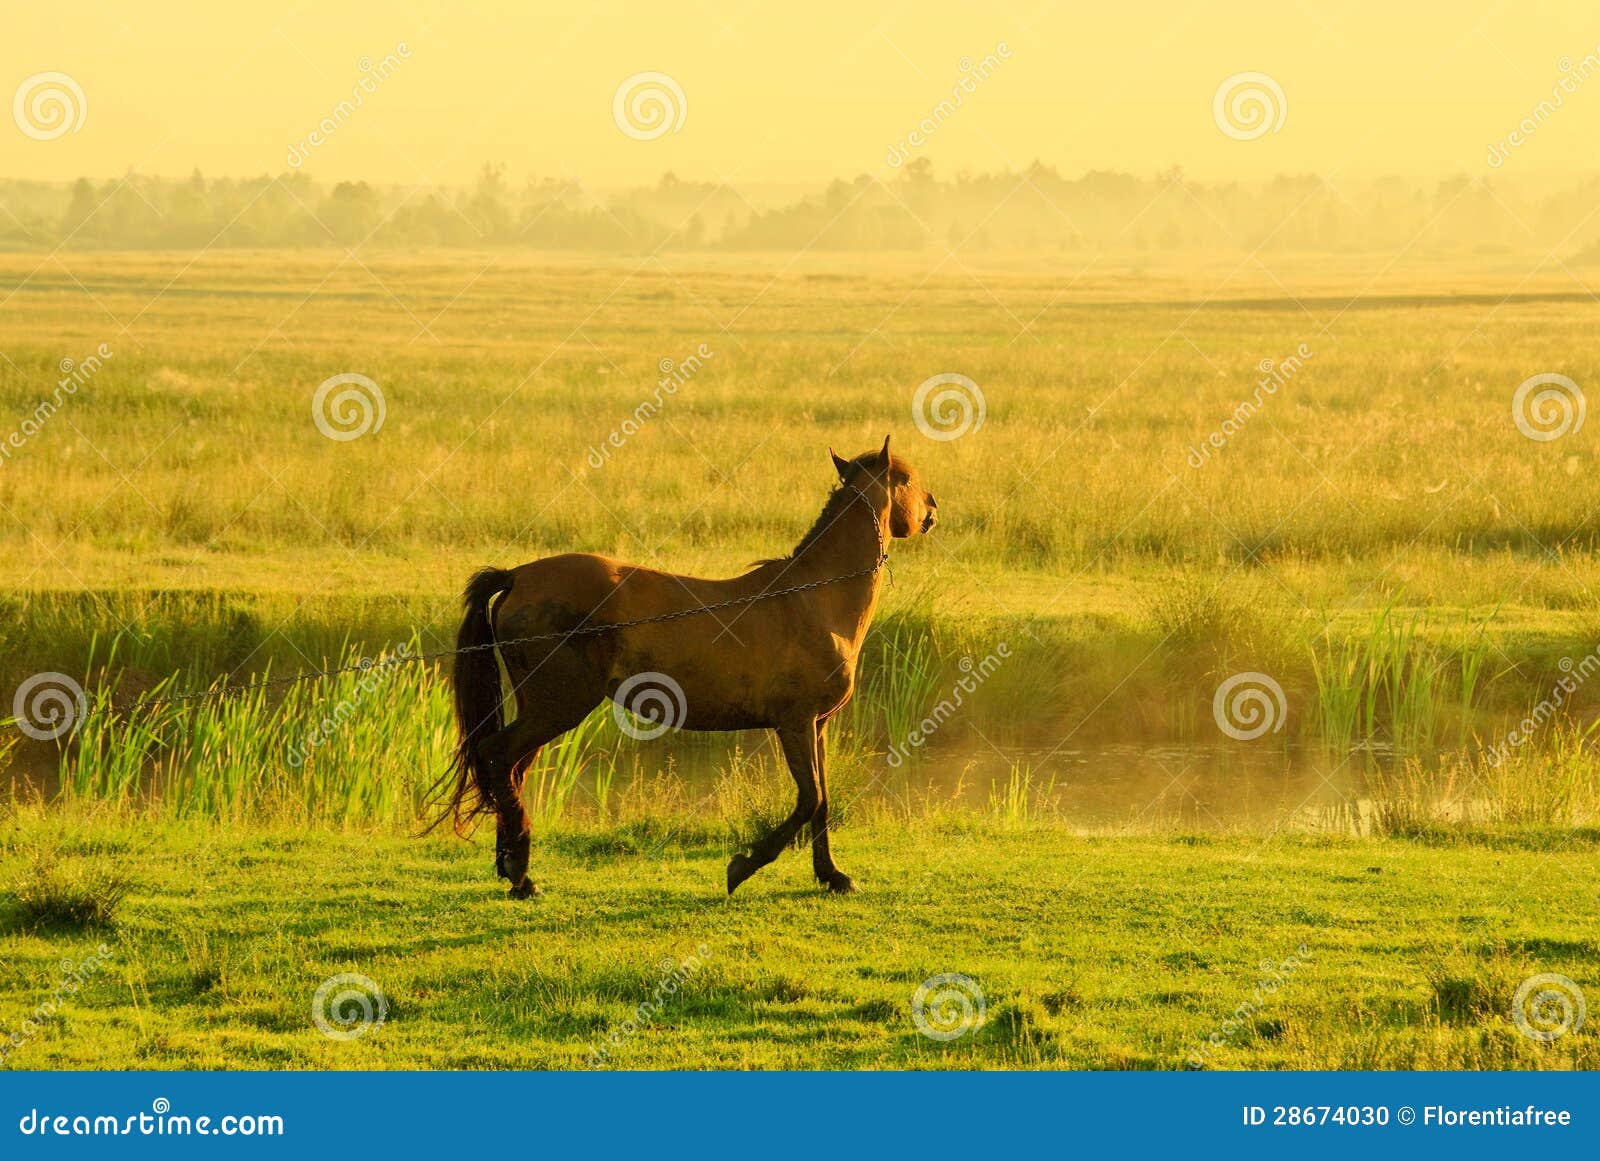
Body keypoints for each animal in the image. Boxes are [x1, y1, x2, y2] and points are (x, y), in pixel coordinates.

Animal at [438, 436, 937, 898]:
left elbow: (823, 801)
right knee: (497, 755)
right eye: (909, 478)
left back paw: (513, 868)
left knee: (511, 770)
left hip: (541, 709)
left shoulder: (817, 725)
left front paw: (832, 876)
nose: (932, 508)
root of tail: (517, 577)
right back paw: (521, 876)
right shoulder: (794, 723)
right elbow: (809, 798)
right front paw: (743, 866)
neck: (814, 599)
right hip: (556, 708)